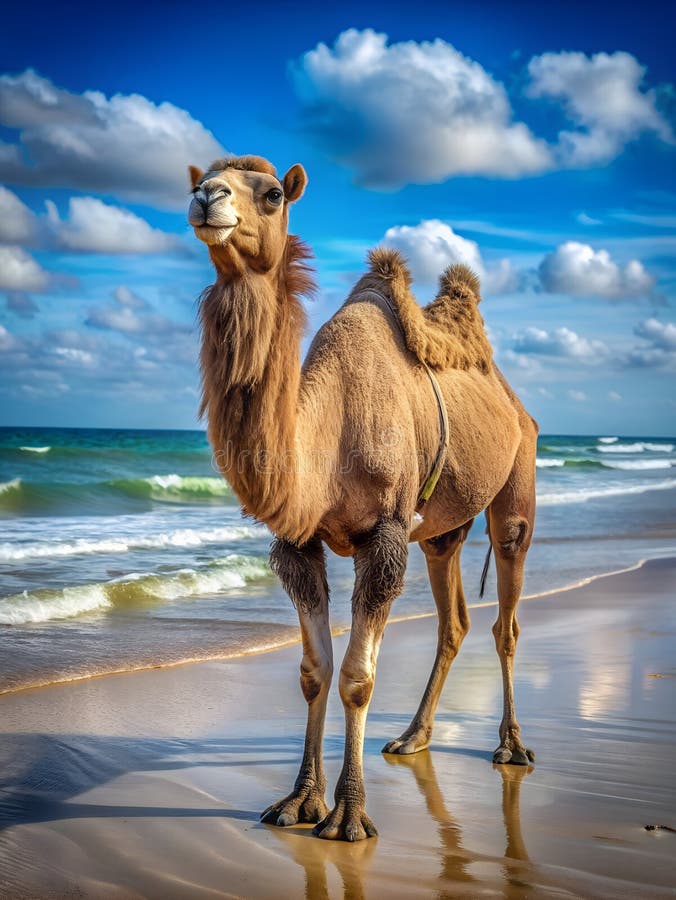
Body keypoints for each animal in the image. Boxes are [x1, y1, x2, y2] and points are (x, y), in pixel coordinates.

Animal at [188, 154, 537, 842]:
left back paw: (510, 747)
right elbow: (313, 672)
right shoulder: (296, 542)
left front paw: (348, 815)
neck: (326, 434)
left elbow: (356, 678)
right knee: (453, 619)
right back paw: (413, 737)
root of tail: (515, 402)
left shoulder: (386, 533)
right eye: (200, 180)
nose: (207, 198)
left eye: (271, 194)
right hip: (440, 532)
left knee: (505, 616)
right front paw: (299, 801)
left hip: (517, 485)